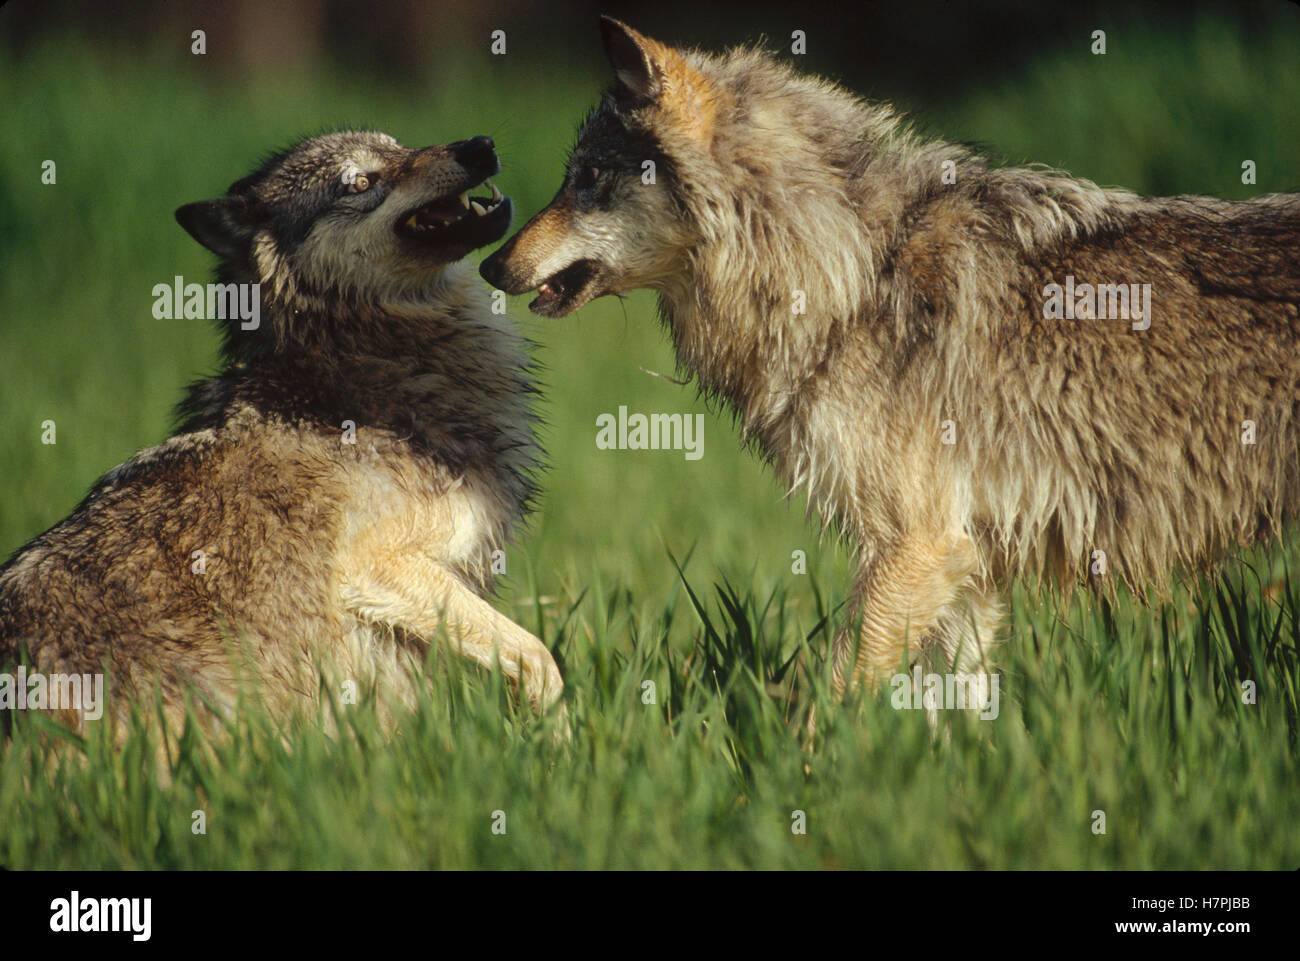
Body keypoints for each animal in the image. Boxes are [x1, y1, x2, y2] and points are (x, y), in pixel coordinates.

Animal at [0, 131, 566, 740]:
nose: (478, 145)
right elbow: (541, 659)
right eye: (359, 182)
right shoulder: (375, 567)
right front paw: (559, 744)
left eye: (398, 145)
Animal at [481, 18, 1300, 715]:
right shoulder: (968, 565)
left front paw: (790, 778)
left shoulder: (914, 547)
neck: (850, 274)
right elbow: (957, 711)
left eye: (589, 179)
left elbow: (834, 697)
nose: (490, 262)